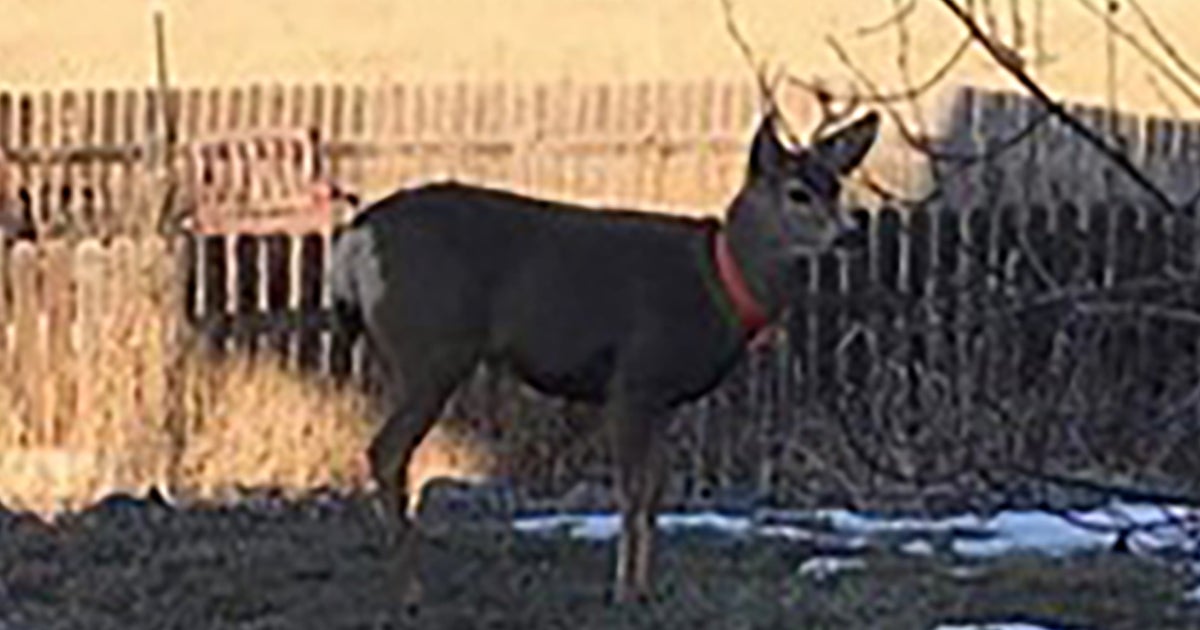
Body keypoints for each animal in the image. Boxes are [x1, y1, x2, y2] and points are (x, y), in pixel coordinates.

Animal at [328, 106, 880, 605]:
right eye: (797, 192)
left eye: (837, 185)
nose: (851, 233)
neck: (721, 282)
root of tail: (357, 236)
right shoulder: (632, 377)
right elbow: (631, 491)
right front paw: (622, 590)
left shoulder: (664, 397)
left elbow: (656, 494)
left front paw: (647, 589)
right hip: (432, 347)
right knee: (387, 451)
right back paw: (410, 591)